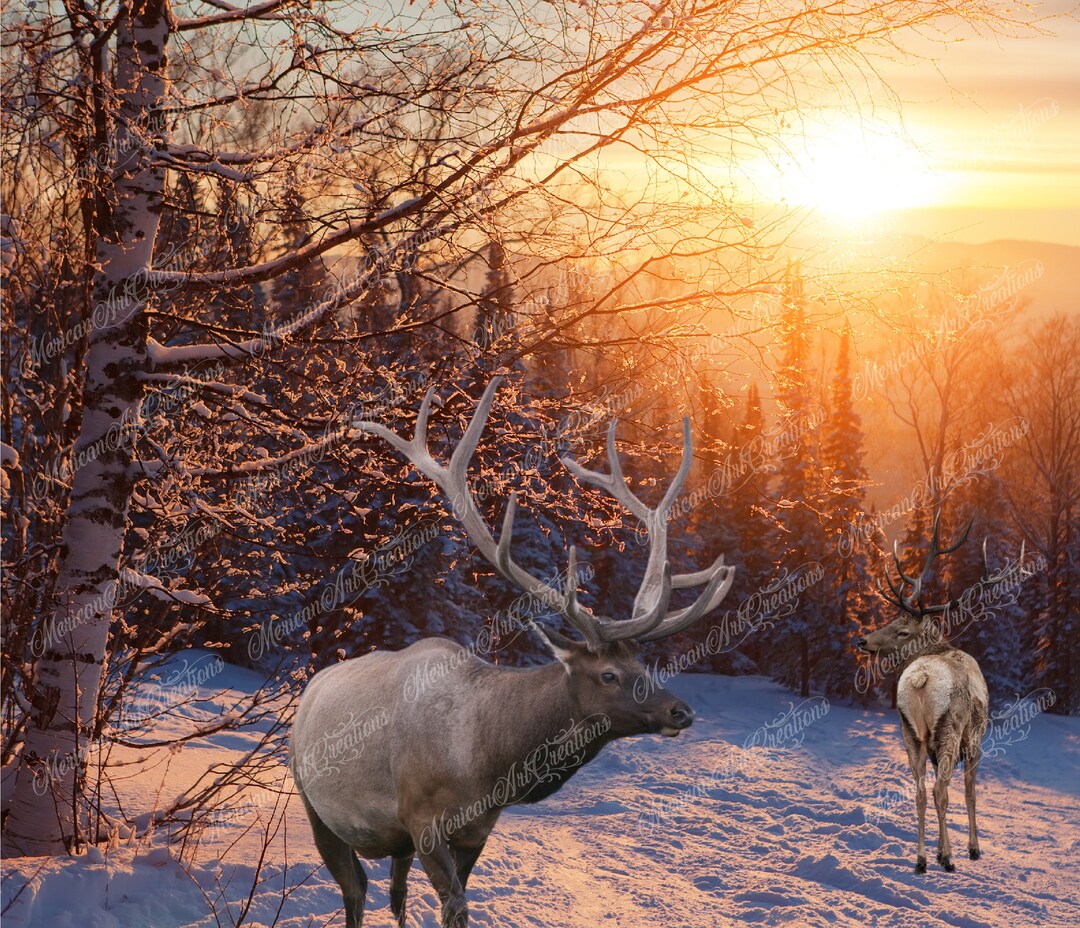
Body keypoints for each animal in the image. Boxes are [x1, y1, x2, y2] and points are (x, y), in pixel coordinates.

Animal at [290, 376, 736, 928]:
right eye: (608, 674)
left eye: (642, 663)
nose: (681, 711)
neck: (488, 764)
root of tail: (311, 689)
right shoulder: (422, 819)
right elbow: (454, 909)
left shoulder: (476, 829)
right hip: (314, 803)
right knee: (355, 890)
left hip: (392, 842)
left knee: (392, 893)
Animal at [857, 512, 990, 874]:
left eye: (901, 629)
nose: (863, 640)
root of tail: (920, 680)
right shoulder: (975, 740)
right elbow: (971, 793)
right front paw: (973, 848)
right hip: (948, 729)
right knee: (938, 791)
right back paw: (947, 858)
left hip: (909, 731)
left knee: (917, 792)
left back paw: (920, 860)